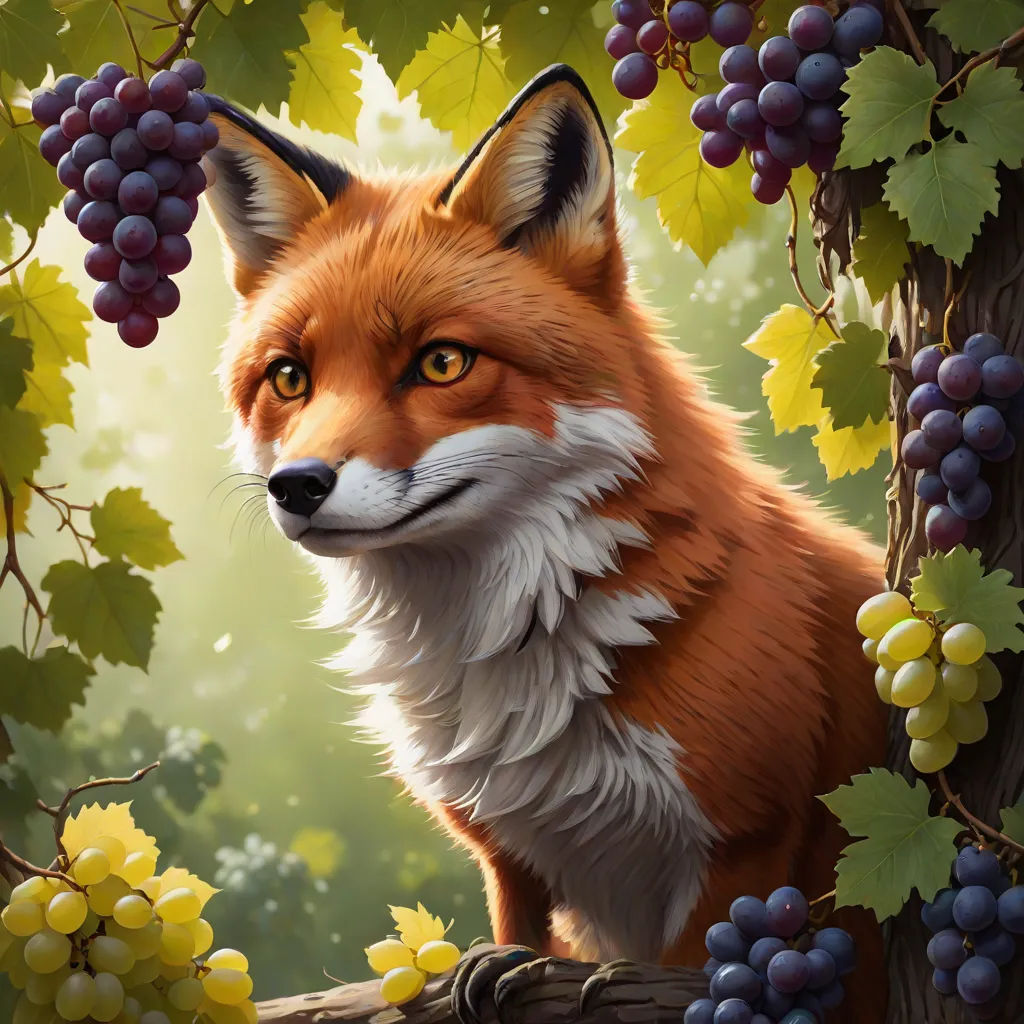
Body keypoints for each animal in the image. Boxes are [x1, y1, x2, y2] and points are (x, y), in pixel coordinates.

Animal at [202, 64, 888, 1019]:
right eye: (290, 378)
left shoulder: (745, 843)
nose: (297, 486)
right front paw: (496, 969)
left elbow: (690, 969)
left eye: (442, 363)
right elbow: (514, 936)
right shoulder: (511, 850)